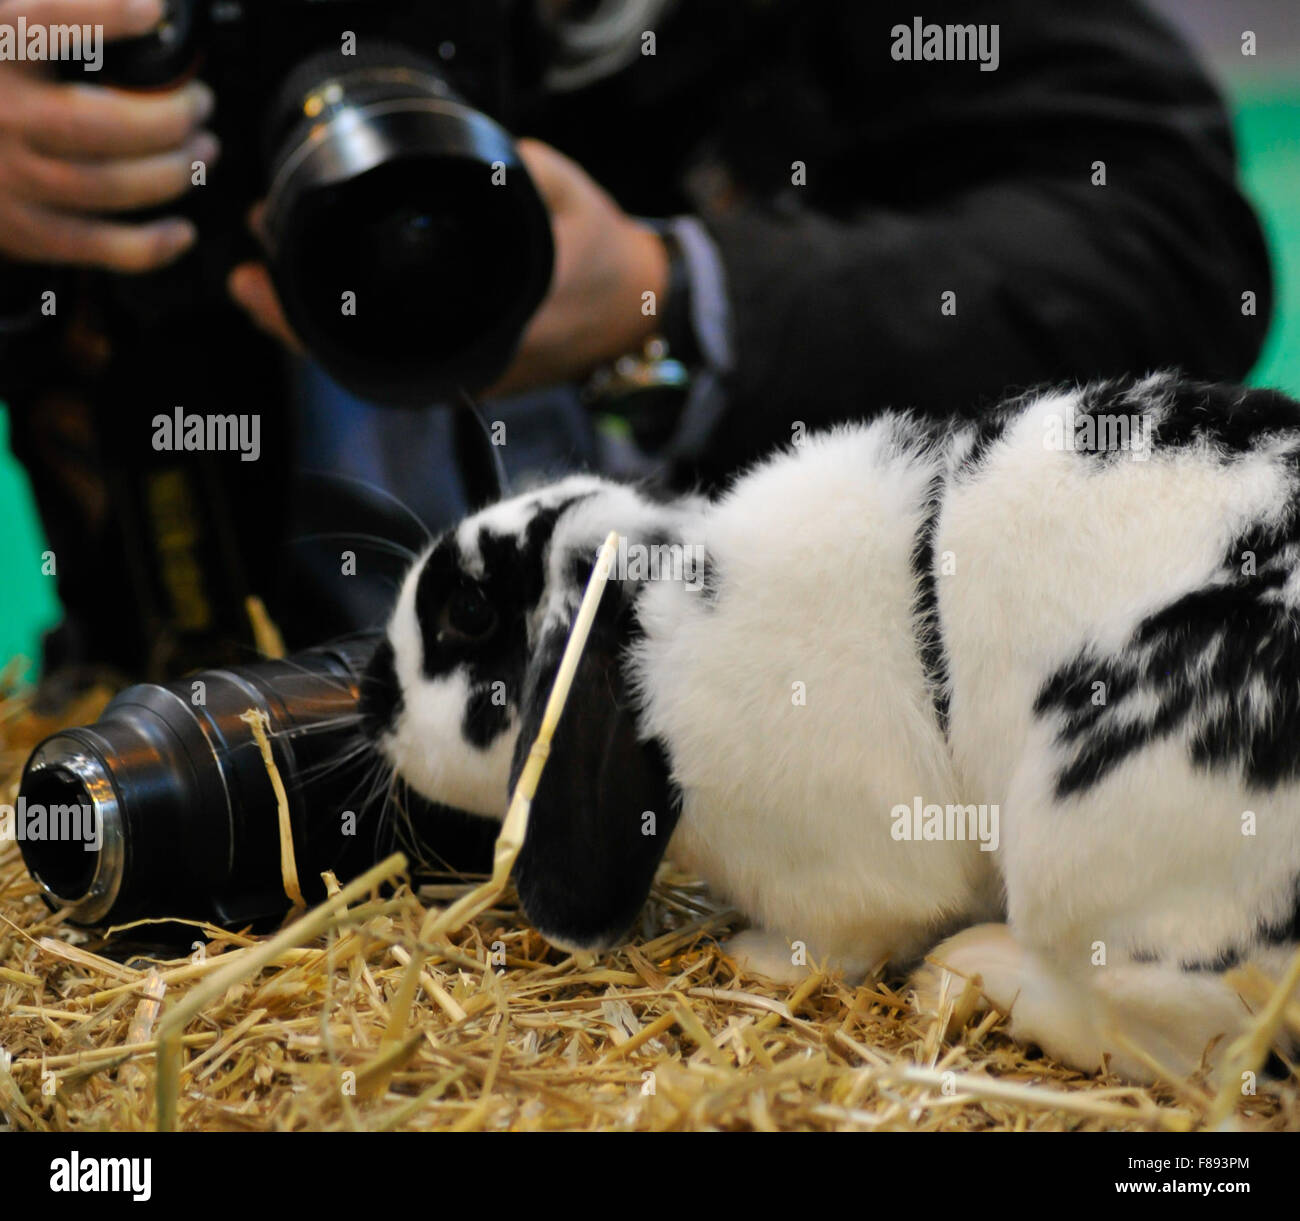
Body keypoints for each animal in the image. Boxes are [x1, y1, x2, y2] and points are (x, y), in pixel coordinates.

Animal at [361, 370, 1300, 1084]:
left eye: (470, 612)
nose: (374, 702)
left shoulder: (845, 870)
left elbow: (842, 935)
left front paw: (757, 956)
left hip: (1099, 835)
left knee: (1181, 1037)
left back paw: (968, 973)